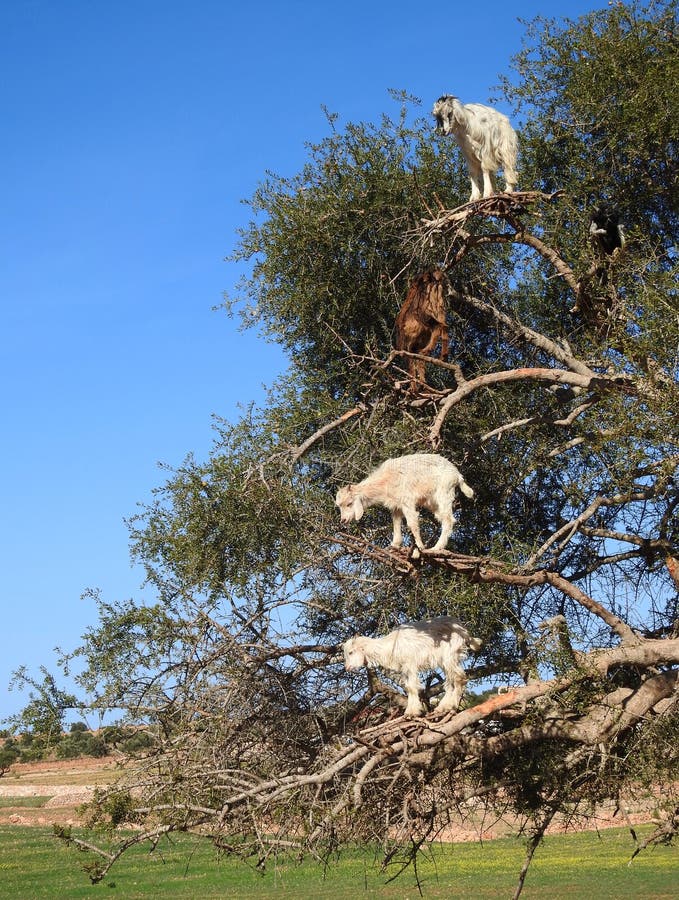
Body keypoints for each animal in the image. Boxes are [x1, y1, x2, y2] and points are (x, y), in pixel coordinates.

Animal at [335, 453, 474, 553]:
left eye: (349, 503)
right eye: (339, 506)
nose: (343, 520)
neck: (385, 480)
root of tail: (457, 475)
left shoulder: (407, 501)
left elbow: (412, 524)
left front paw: (419, 547)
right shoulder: (396, 506)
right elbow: (396, 524)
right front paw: (394, 545)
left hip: (444, 492)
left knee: (449, 520)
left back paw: (436, 548)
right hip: (432, 502)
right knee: (443, 518)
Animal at [343, 616, 483, 717]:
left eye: (350, 652)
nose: (347, 668)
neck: (391, 646)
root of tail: (463, 629)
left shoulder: (410, 664)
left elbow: (411, 687)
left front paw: (411, 712)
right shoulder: (404, 669)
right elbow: (408, 687)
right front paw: (412, 711)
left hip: (449, 654)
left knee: (459, 678)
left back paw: (451, 706)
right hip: (445, 659)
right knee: (449, 681)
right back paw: (443, 707)